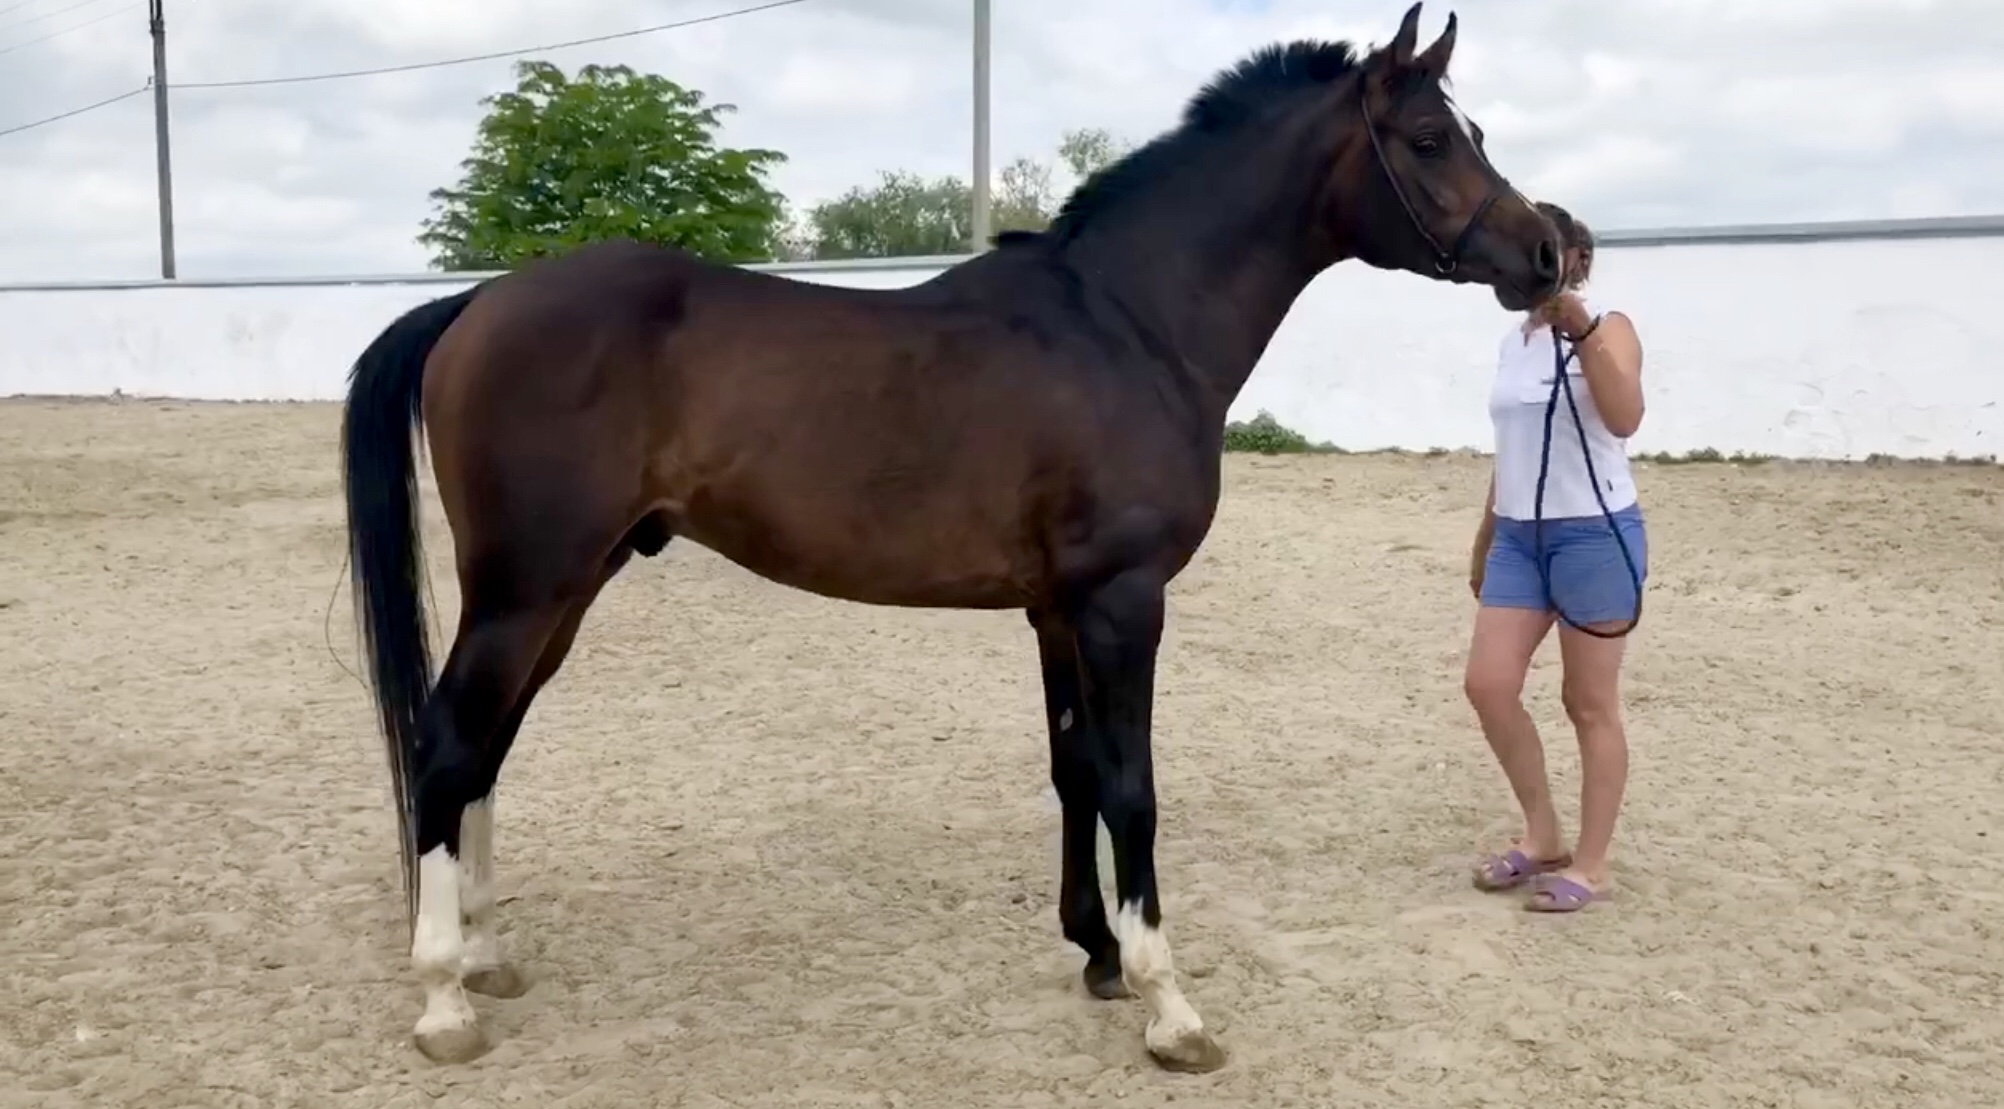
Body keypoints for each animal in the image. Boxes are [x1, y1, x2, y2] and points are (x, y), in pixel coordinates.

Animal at [340, 2, 1563, 1074]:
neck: (1127, 324)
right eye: (1430, 138)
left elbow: (1076, 770)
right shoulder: (1123, 600)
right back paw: (445, 999)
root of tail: (474, 304)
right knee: (447, 745)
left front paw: (1098, 954)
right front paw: (1169, 1003)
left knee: (486, 750)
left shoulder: (1057, 608)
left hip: (565, 589)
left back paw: (488, 955)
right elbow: (1133, 785)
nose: (1550, 253)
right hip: (525, 589)